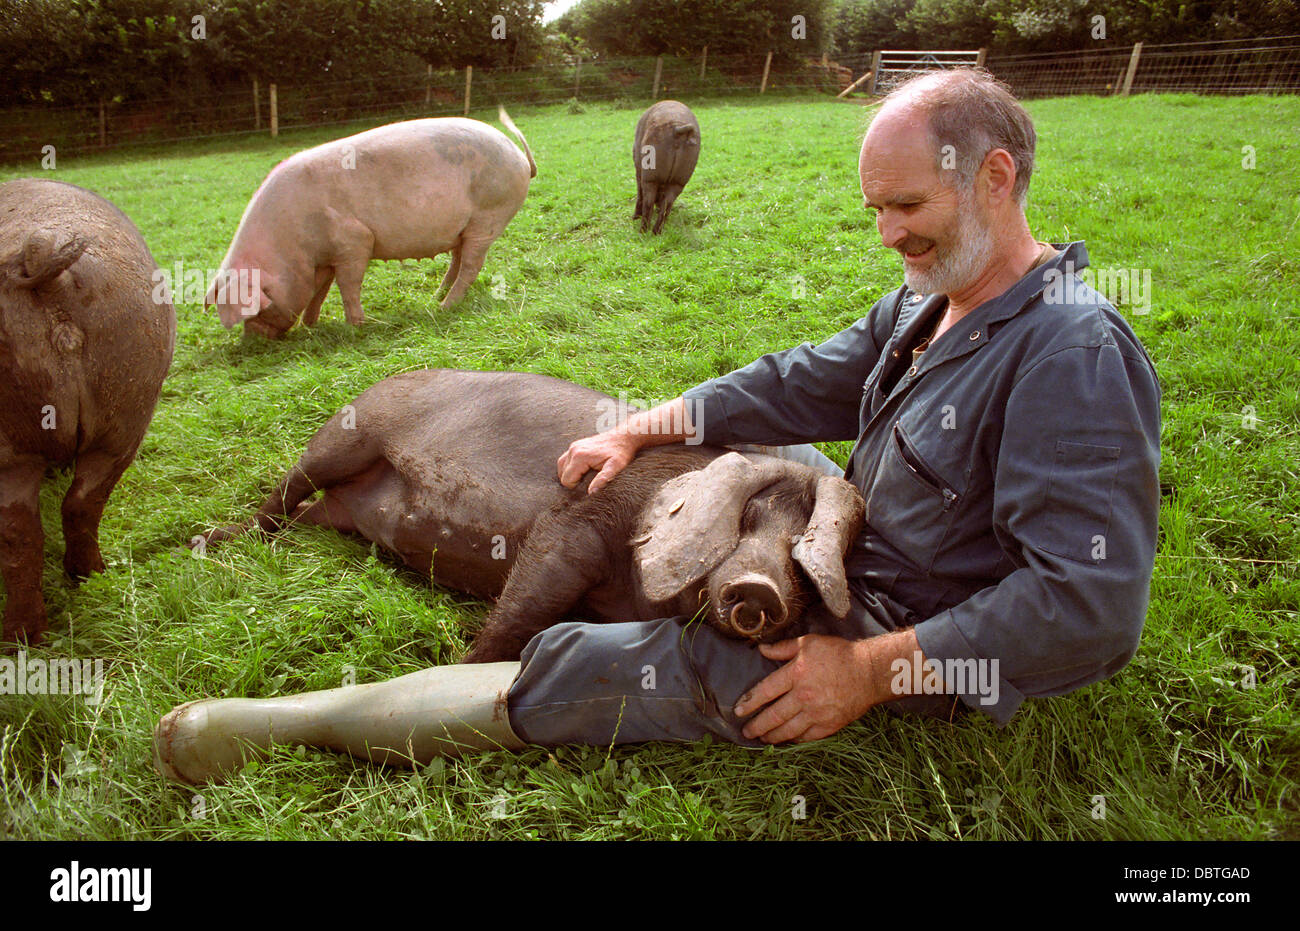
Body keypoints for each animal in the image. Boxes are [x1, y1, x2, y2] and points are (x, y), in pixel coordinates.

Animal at [0, 179, 176, 645]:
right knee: (77, 505)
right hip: (128, 404)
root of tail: (40, 253)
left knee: (23, 529)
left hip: (13, 443)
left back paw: (21, 635)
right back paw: (82, 583)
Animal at [194, 369, 864, 663]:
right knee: (282, 496)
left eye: (802, 551)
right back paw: (208, 542)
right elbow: (518, 614)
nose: (761, 587)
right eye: (749, 514)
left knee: (303, 513)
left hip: (336, 509)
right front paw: (457, 672)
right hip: (344, 435)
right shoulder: (575, 521)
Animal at [205, 108, 537, 338]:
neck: (290, 243)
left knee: (471, 265)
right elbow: (318, 290)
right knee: (457, 258)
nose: (254, 341)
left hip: (489, 215)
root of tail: (520, 158)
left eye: (254, 312)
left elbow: (348, 285)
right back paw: (436, 296)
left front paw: (355, 327)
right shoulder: (325, 257)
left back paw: (444, 307)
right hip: (464, 227)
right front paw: (310, 327)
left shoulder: (354, 240)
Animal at [633, 100, 700, 234]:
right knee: (668, 203)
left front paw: (634, 218)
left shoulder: (638, 168)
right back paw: (656, 232)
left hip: (650, 174)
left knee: (648, 199)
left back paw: (643, 231)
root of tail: (677, 129)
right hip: (681, 178)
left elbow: (639, 191)